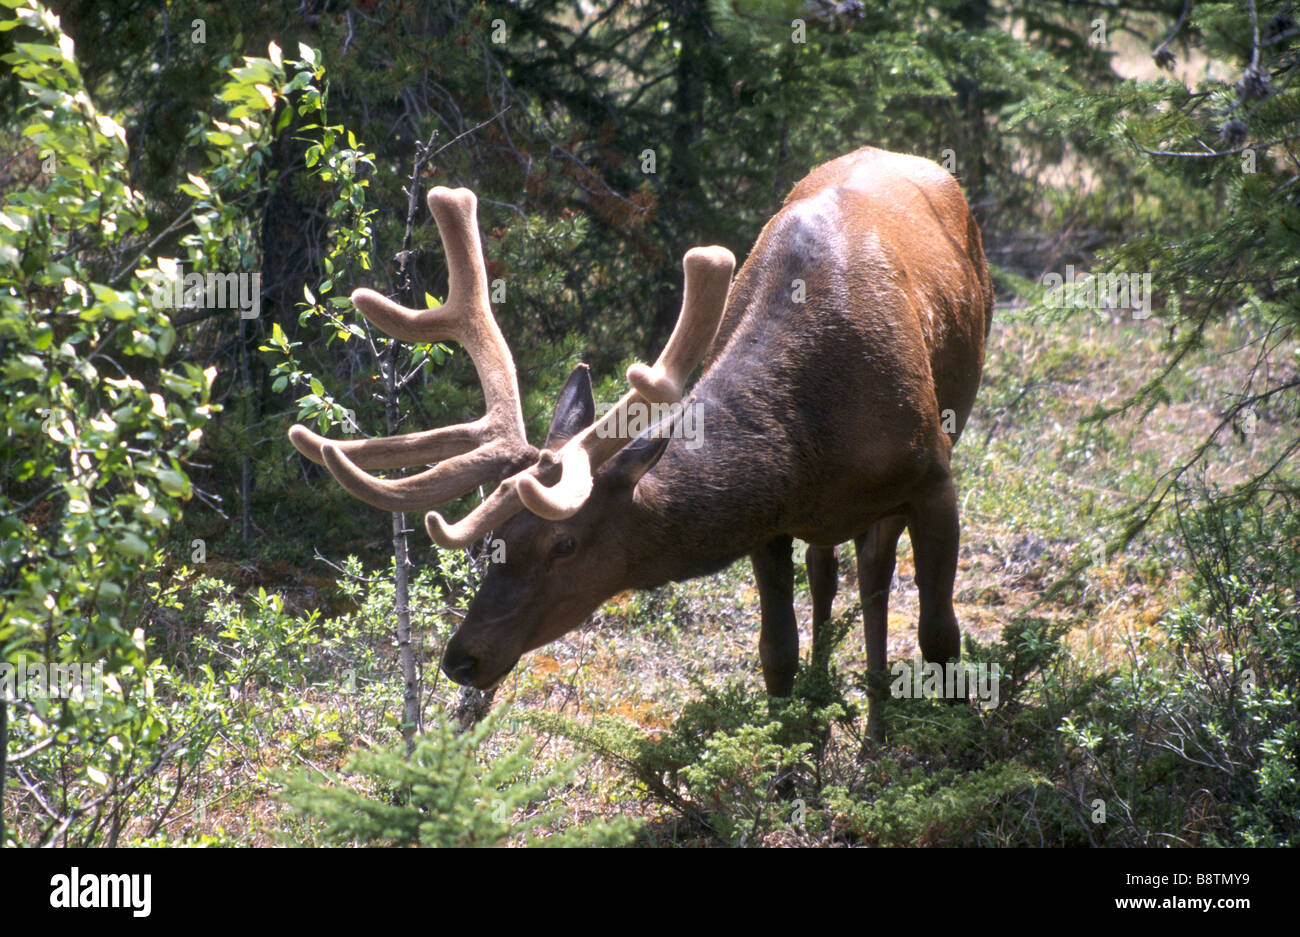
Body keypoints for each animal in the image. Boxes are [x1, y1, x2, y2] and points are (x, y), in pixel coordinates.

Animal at [289, 145, 993, 737]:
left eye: (565, 543)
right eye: (491, 544)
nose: (462, 659)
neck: (809, 445)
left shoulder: (934, 479)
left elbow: (940, 636)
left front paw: (957, 749)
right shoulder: (769, 522)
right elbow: (777, 655)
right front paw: (792, 759)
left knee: (875, 572)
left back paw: (876, 724)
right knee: (833, 574)